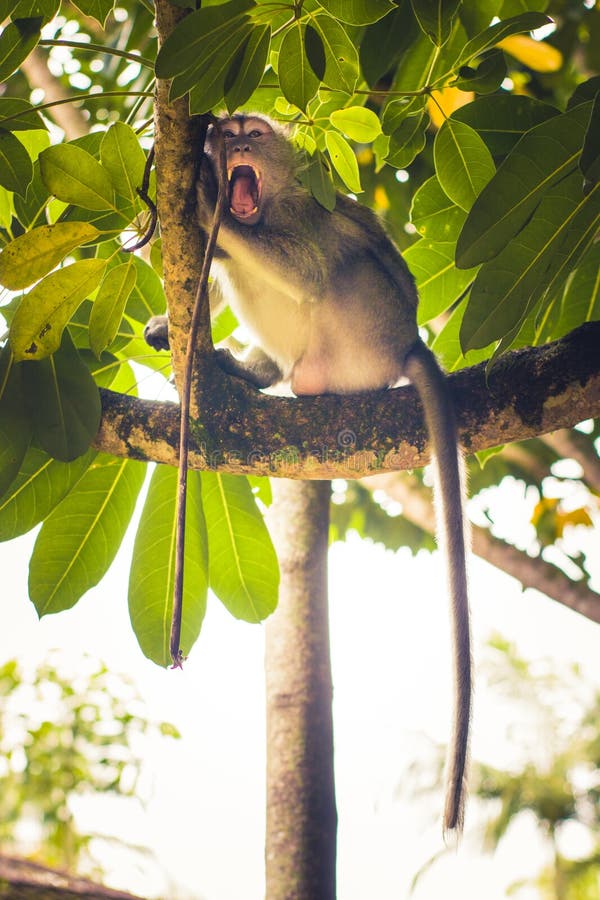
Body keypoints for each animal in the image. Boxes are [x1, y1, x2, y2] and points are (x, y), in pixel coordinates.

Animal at [144, 114, 471, 834]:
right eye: (230, 129)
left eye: (253, 130)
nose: (232, 141)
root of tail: (407, 343)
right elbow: (220, 266)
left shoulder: (309, 216)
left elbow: (306, 265)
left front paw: (203, 193)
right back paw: (253, 370)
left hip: (367, 323)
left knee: (338, 270)